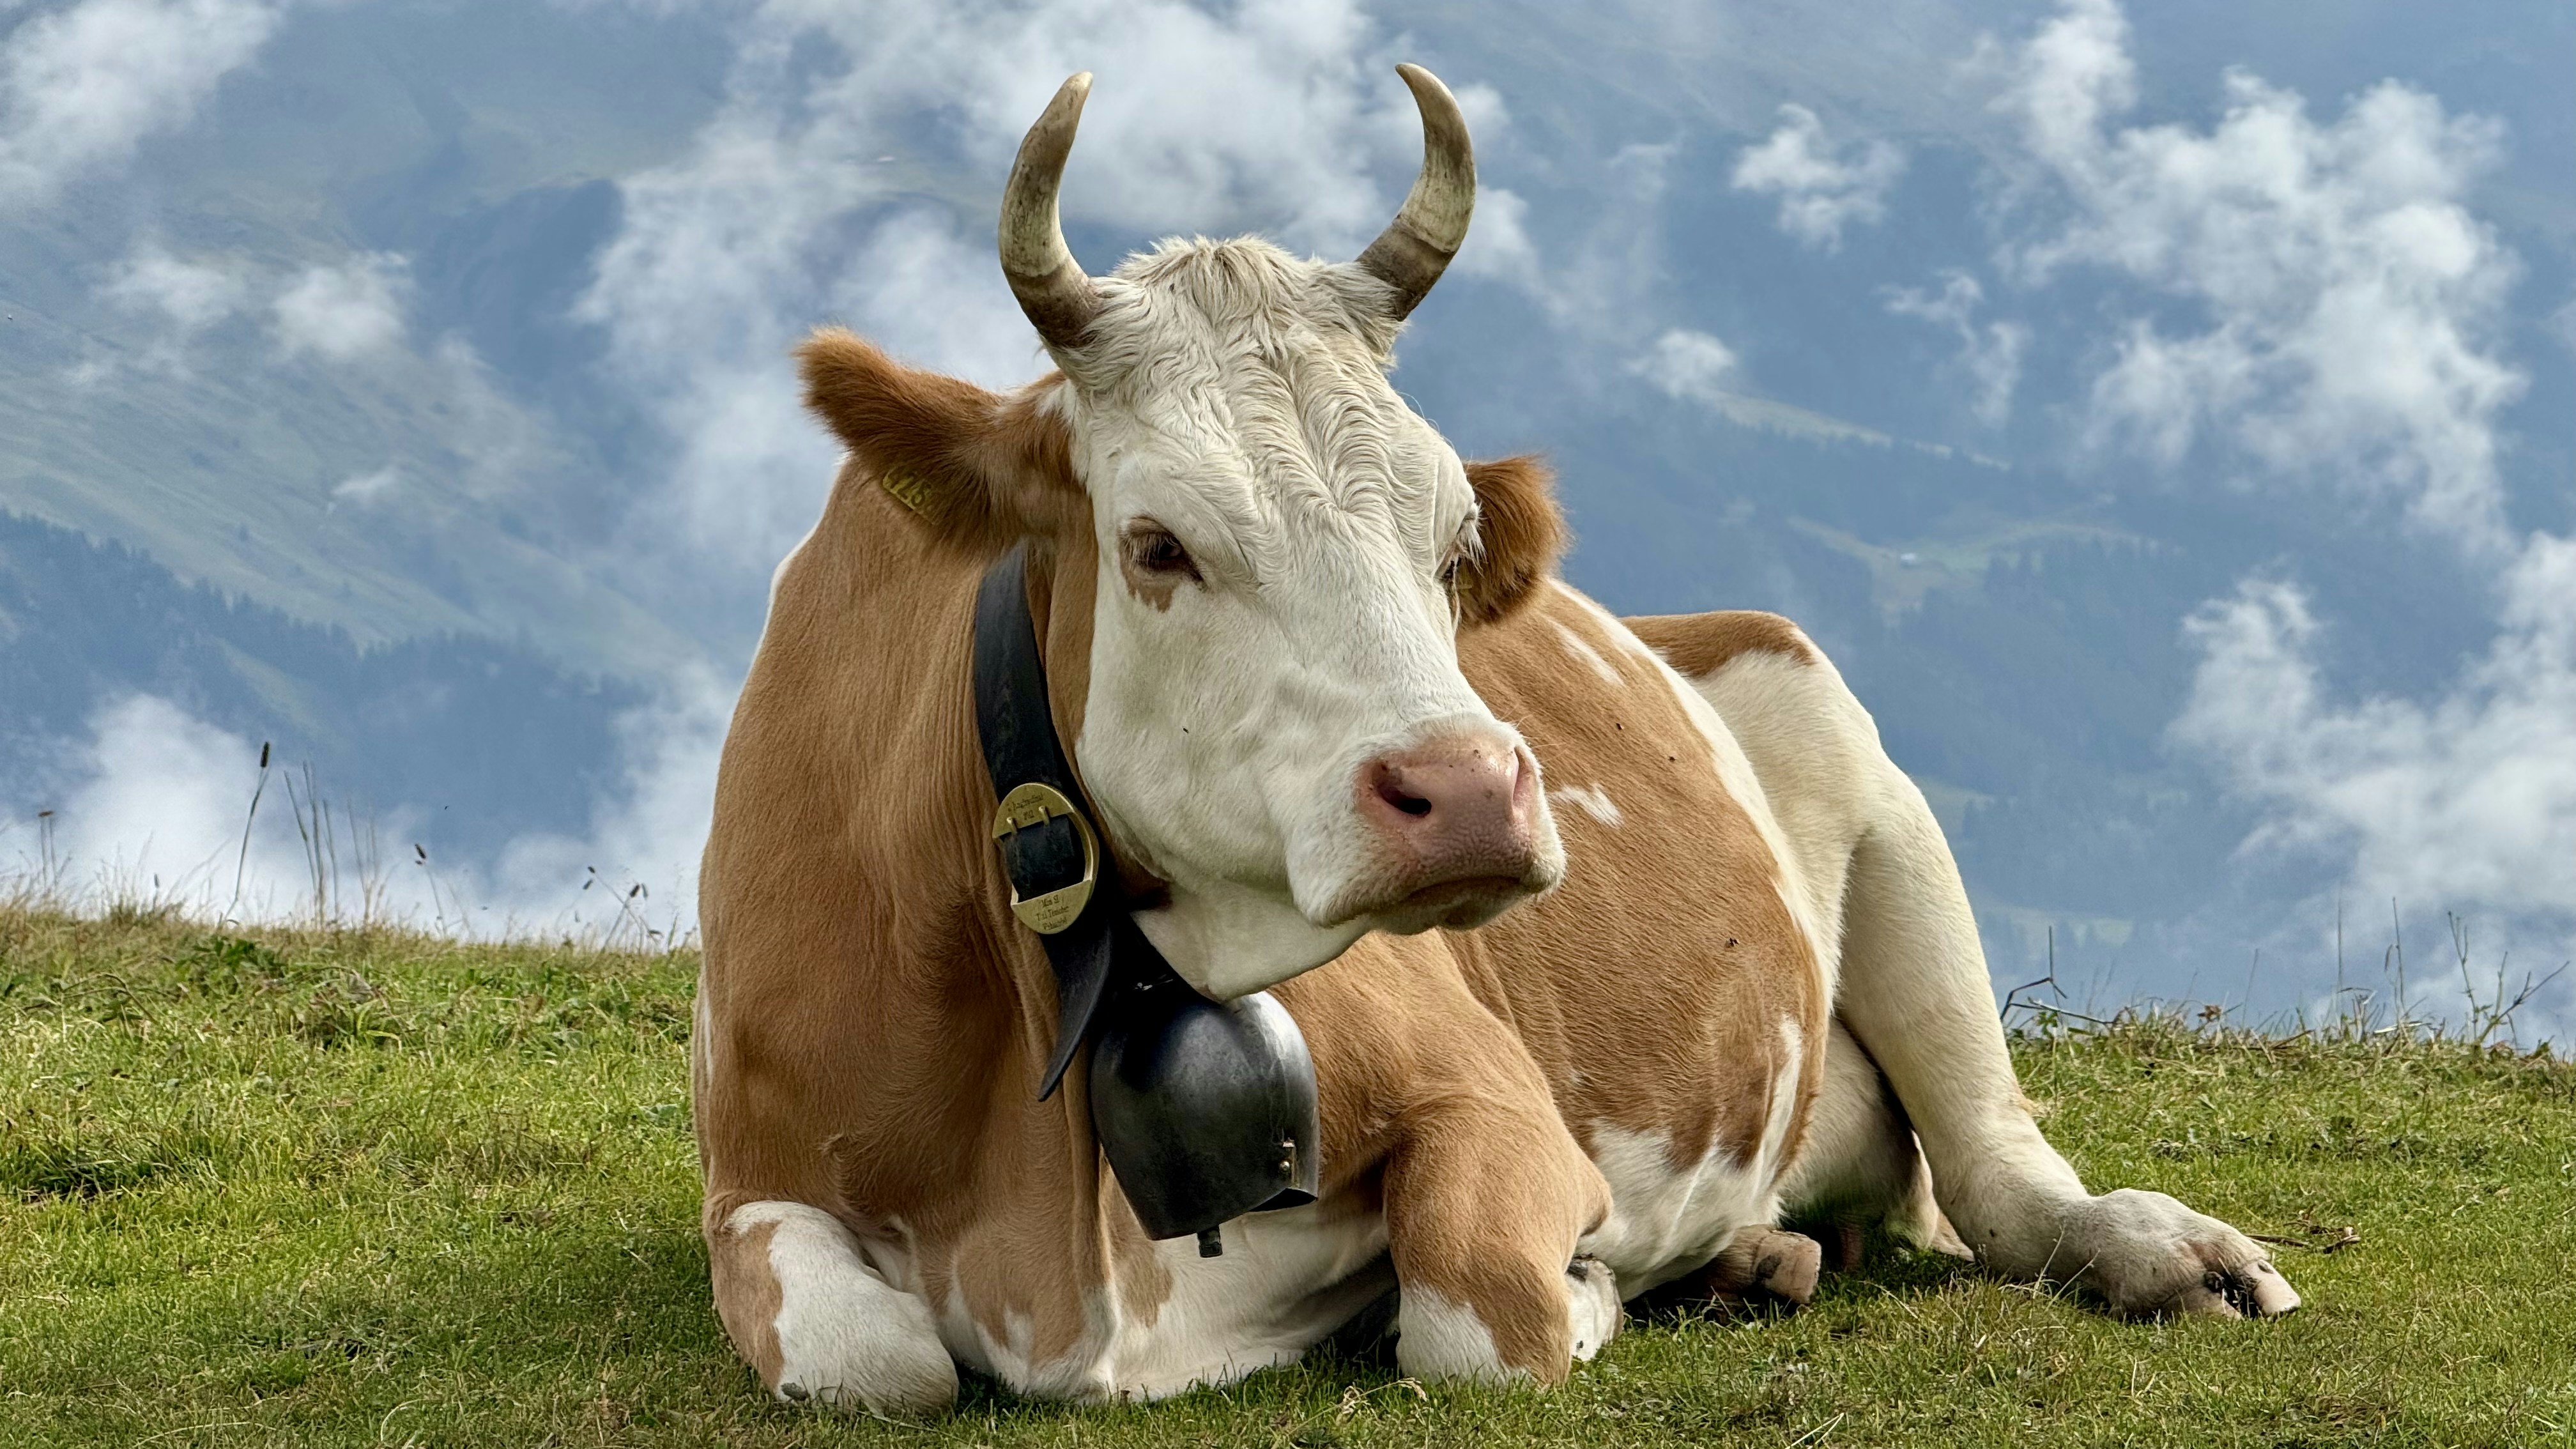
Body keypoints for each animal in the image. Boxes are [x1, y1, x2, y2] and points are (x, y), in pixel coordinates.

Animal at [691, 65, 2298, 1413]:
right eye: (1156, 544)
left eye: (1455, 540)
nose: (1466, 795)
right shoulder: (746, 1184)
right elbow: (873, 1361)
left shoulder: (1492, 1096)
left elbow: (1479, 1311)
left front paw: (1584, 1288)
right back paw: (1752, 1260)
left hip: (1872, 785)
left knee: (1997, 1167)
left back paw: (2167, 1254)